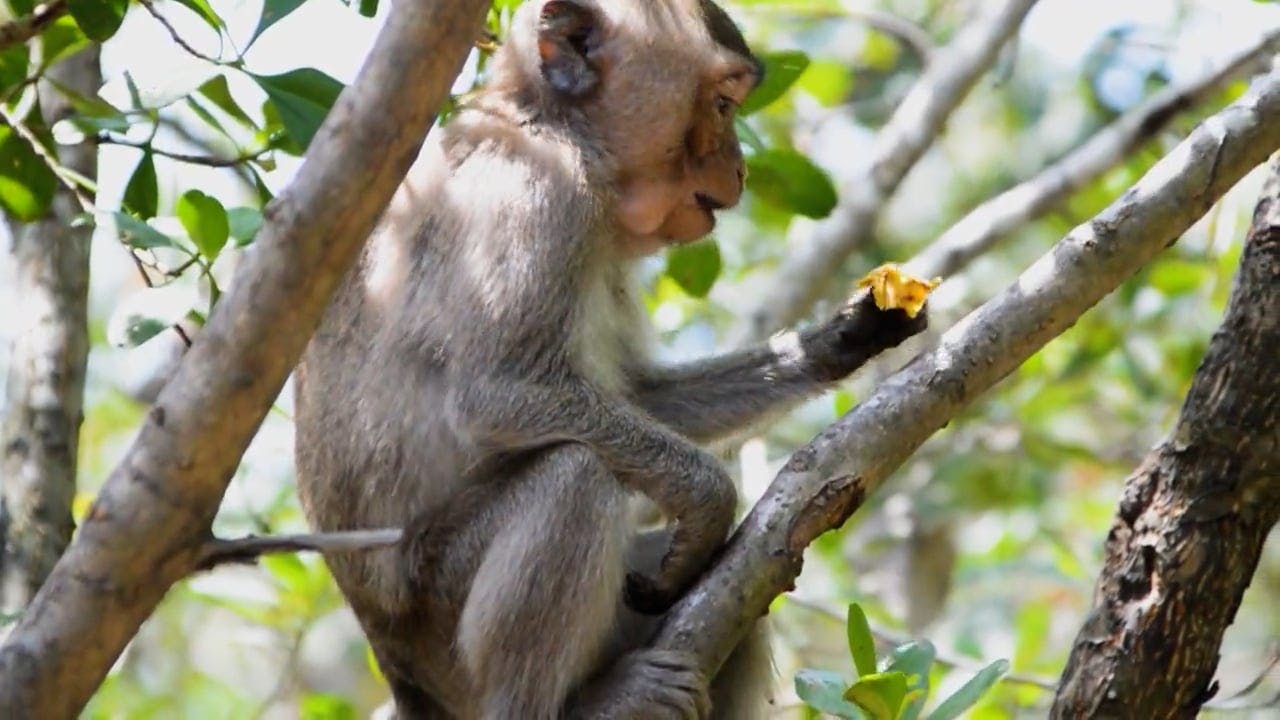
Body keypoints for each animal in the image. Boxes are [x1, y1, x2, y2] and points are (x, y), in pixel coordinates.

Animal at [293, 1, 927, 718]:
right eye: (722, 104)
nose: (738, 170)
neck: (543, 119)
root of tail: (397, 667)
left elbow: (640, 398)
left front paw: (845, 337)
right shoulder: (538, 193)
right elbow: (498, 393)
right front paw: (711, 501)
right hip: (439, 620)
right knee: (575, 475)